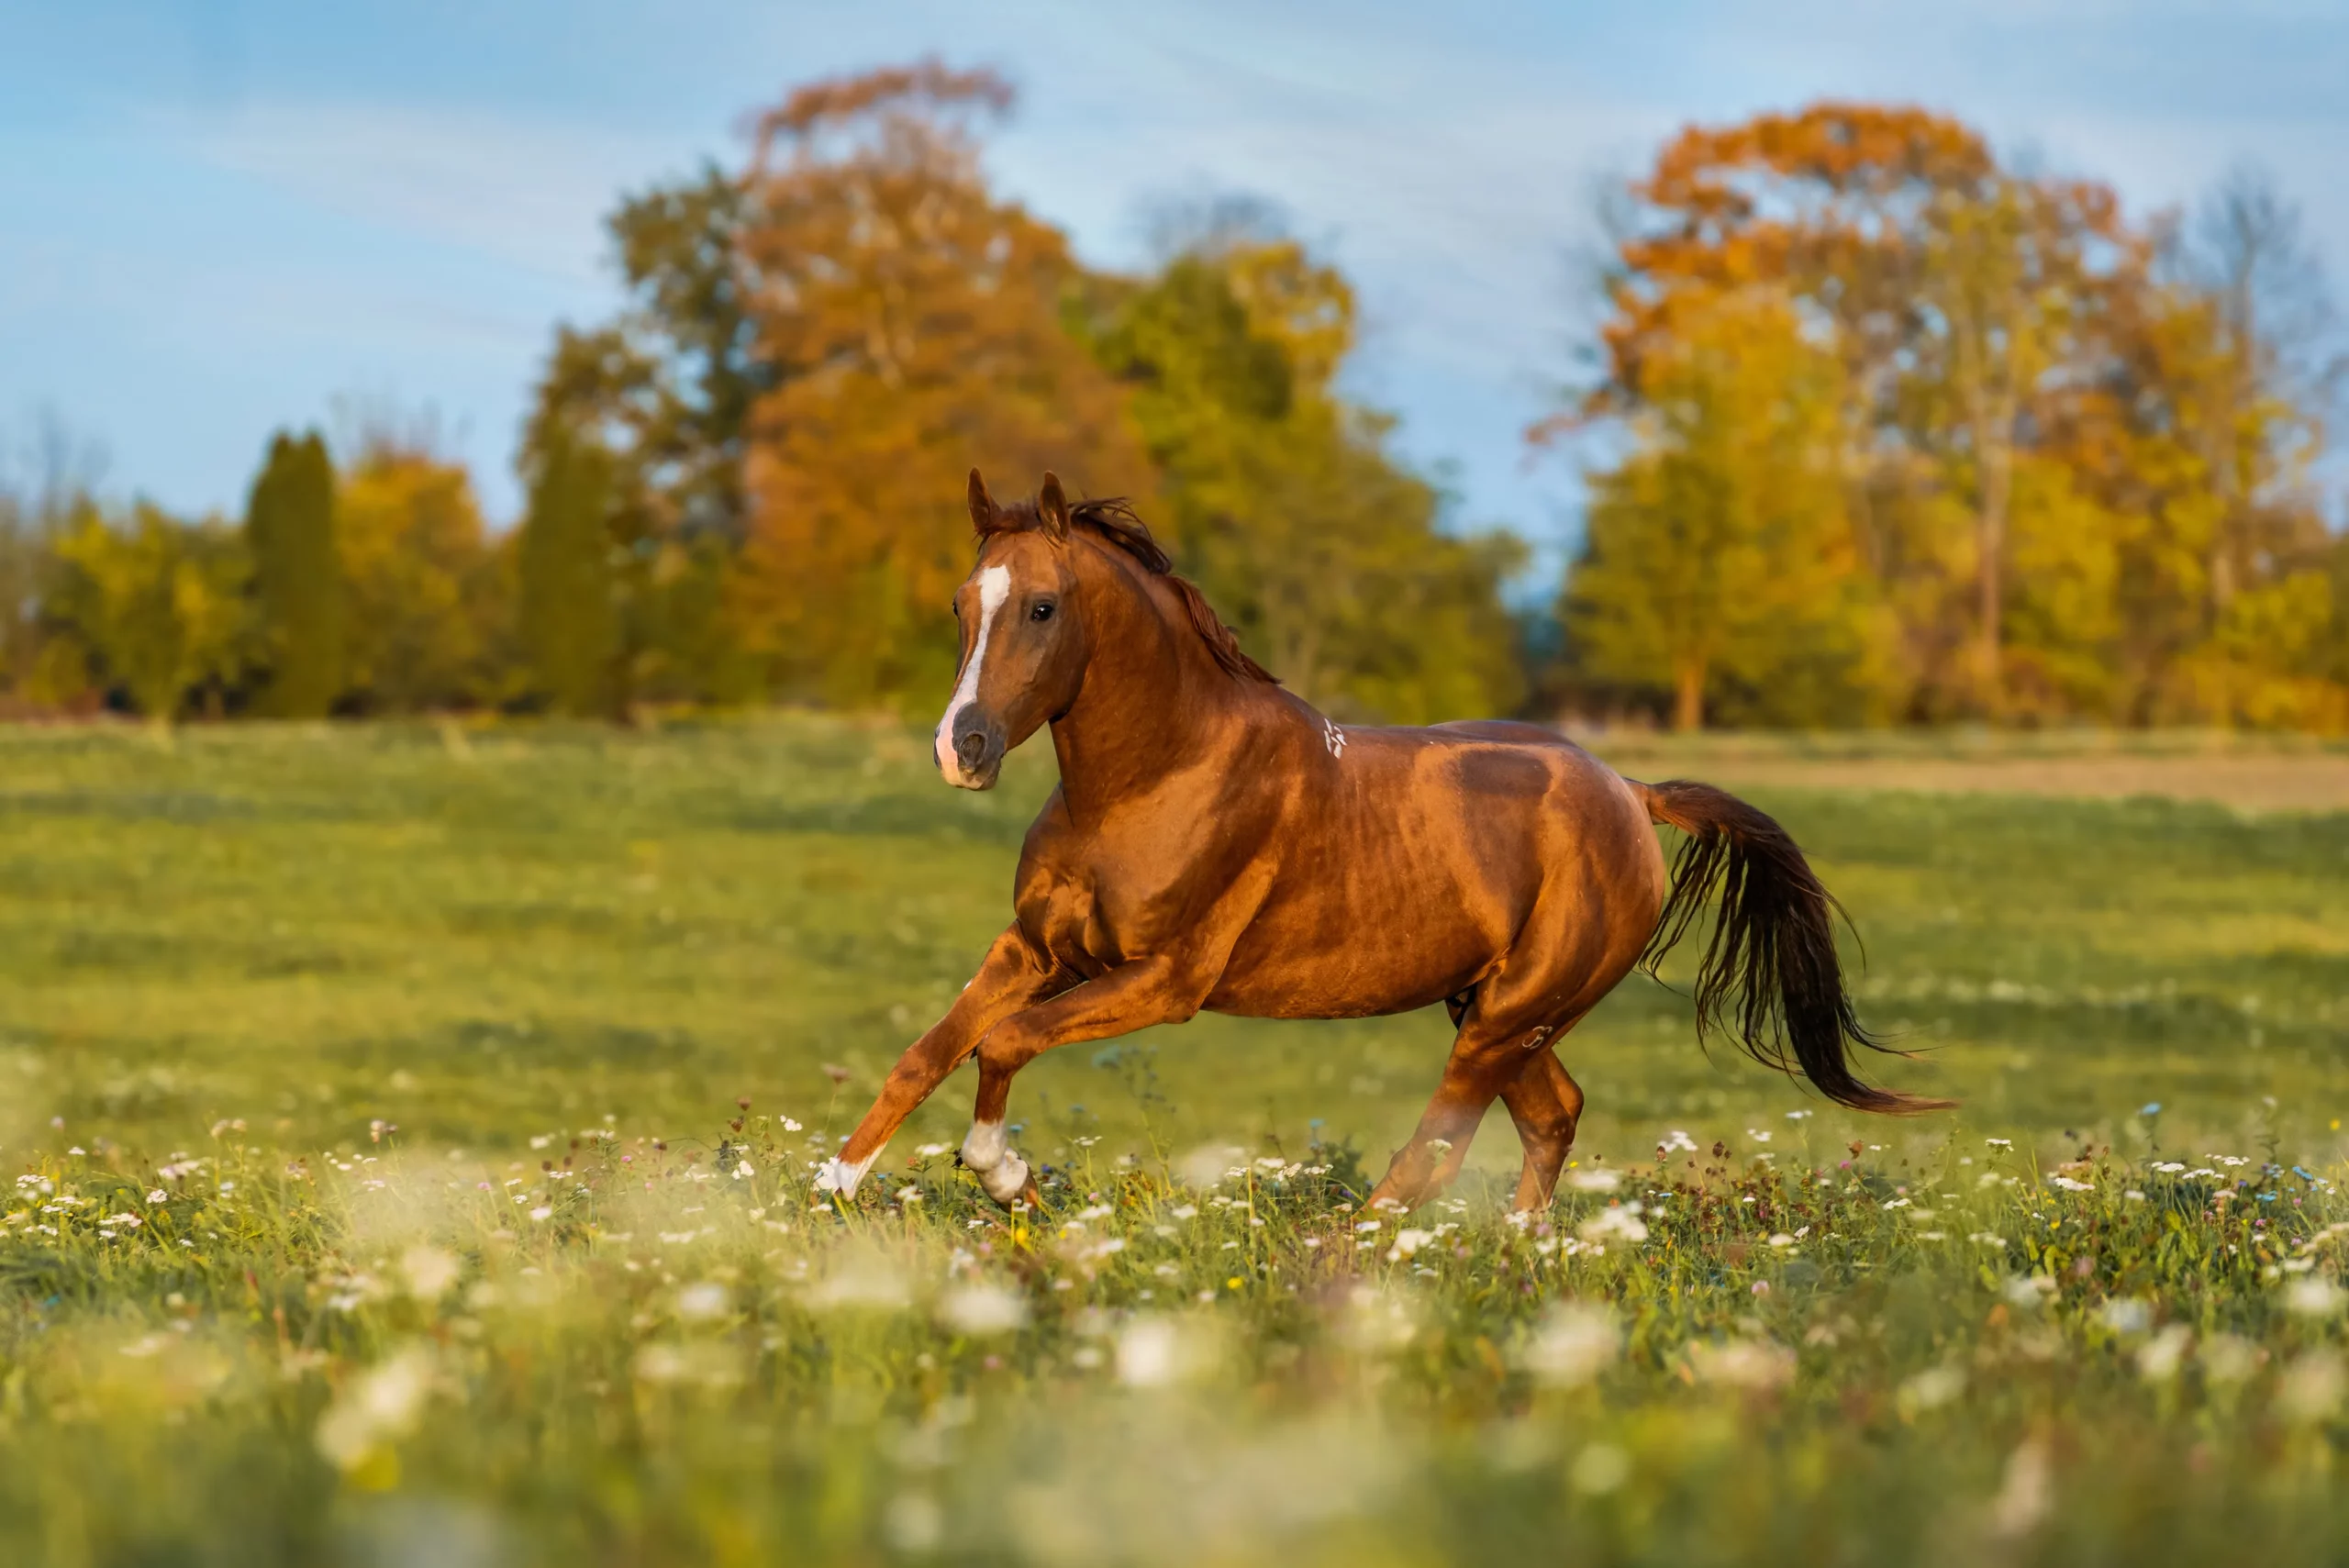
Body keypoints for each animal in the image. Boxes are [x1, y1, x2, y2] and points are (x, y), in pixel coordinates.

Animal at [816, 470, 1950, 1213]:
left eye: (1045, 606)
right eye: (963, 603)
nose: (959, 747)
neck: (1152, 779)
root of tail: (1632, 794)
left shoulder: (1161, 981)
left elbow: (1002, 1042)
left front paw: (1003, 1175)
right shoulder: (1036, 948)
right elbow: (927, 1052)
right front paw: (832, 1185)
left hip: (1506, 1018)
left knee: (1435, 1153)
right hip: (1497, 1012)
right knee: (1552, 1117)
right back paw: (1518, 1261)